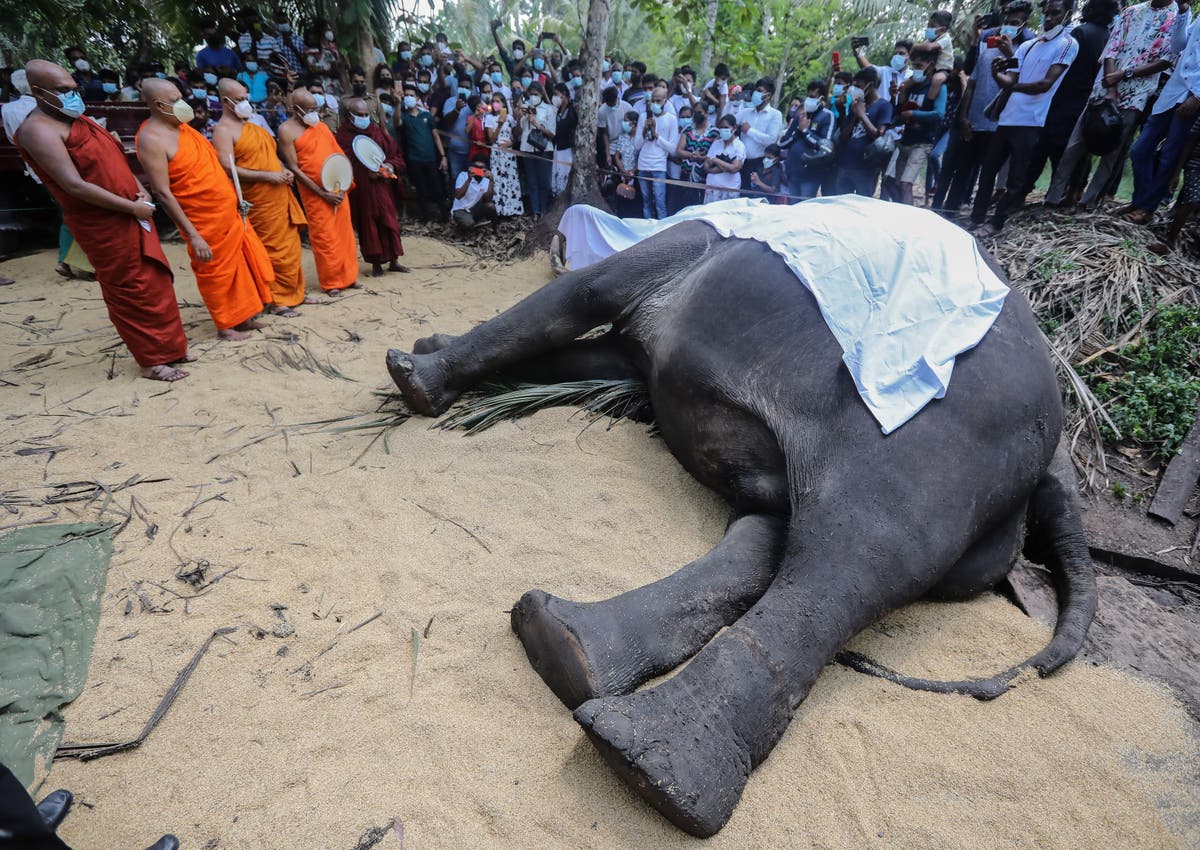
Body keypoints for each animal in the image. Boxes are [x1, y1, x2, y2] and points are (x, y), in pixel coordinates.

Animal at [384, 216, 1096, 838]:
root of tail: (1059, 445)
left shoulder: (685, 241)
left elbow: (581, 295)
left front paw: (413, 374)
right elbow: (599, 357)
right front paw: (429, 355)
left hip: (939, 432)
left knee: (856, 552)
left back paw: (650, 765)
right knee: (778, 534)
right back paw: (567, 649)